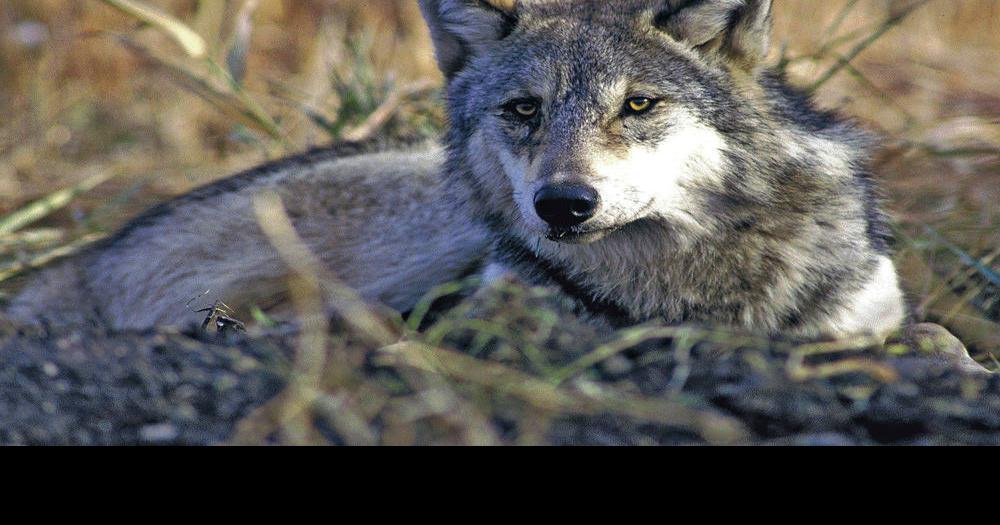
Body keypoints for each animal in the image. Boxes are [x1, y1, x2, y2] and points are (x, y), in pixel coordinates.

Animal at [7, 0, 906, 340]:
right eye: (523, 109)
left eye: (639, 105)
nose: (563, 204)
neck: (678, 286)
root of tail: (86, 260)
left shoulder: (869, 310)